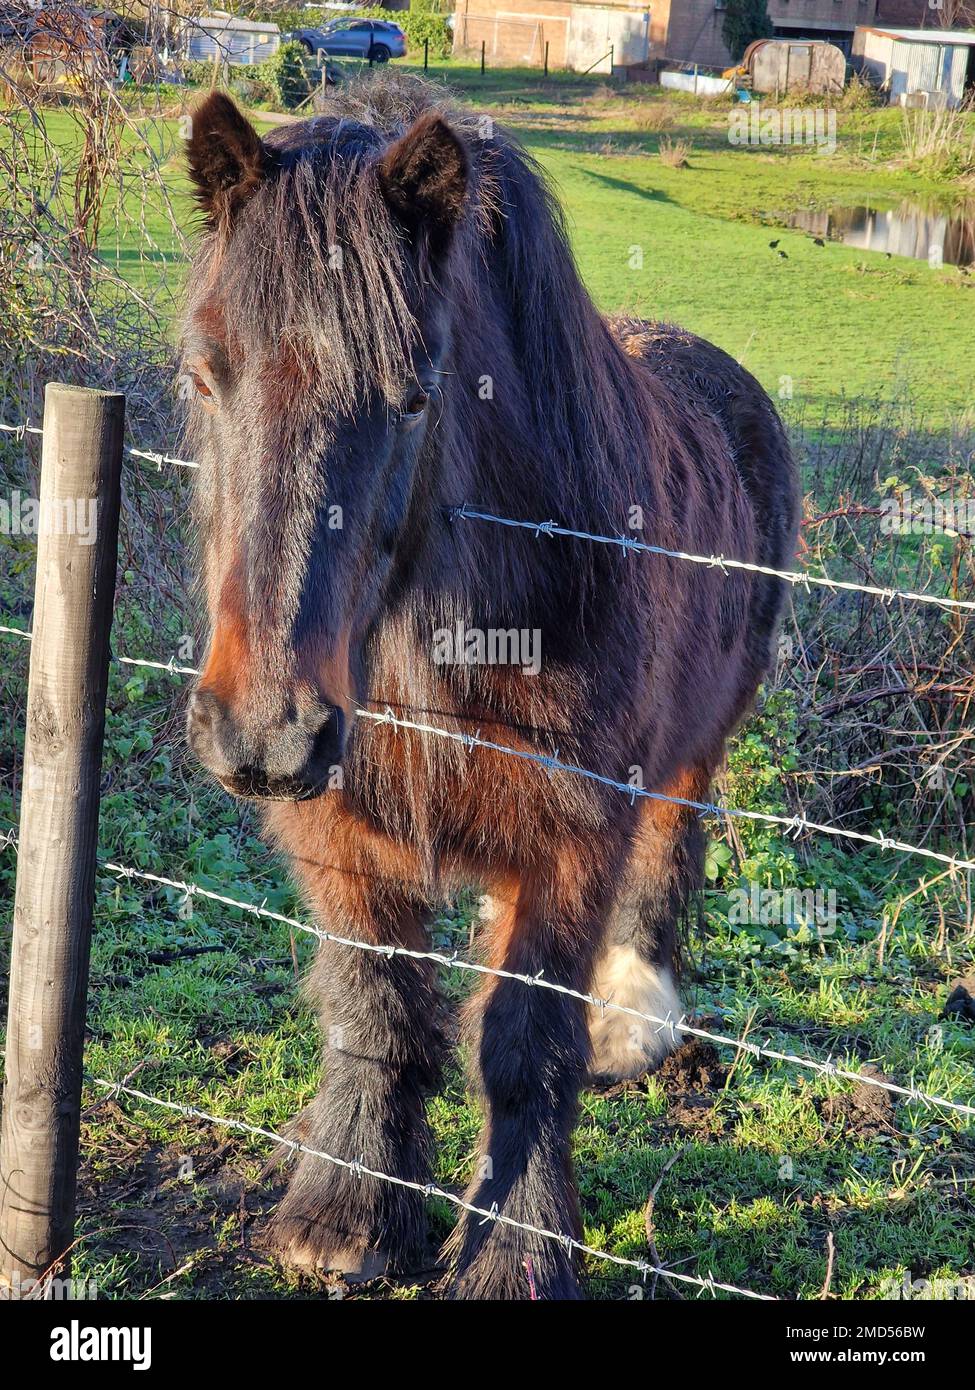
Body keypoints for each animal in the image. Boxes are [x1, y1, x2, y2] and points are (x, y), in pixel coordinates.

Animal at [182, 74, 799, 1300]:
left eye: (416, 395)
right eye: (204, 373)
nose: (262, 731)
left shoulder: (569, 843)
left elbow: (522, 1045)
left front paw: (513, 1252)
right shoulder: (341, 828)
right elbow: (376, 1008)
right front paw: (347, 1214)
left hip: (699, 742)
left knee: (675, 840)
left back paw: (634, 1017)